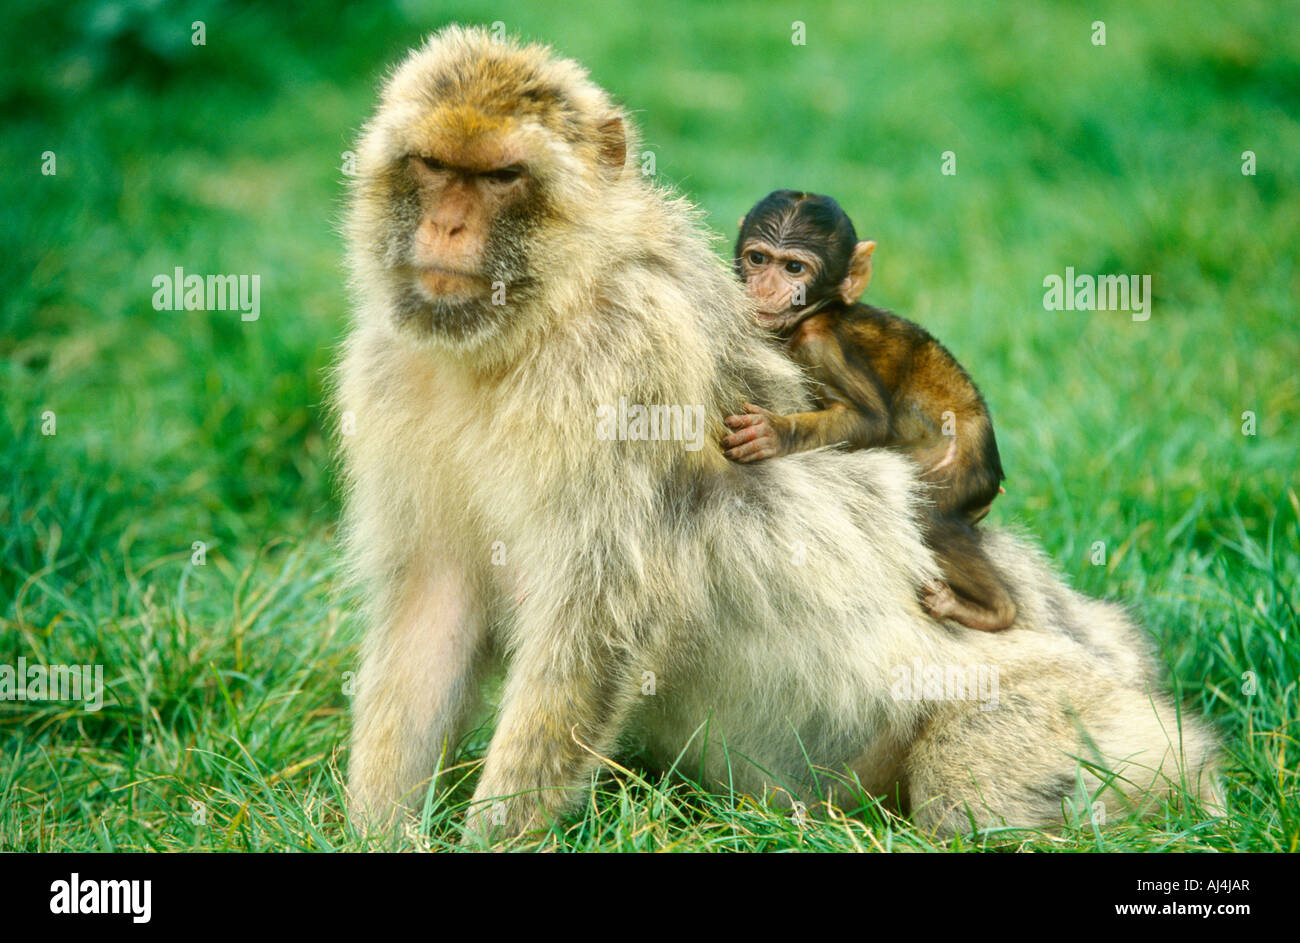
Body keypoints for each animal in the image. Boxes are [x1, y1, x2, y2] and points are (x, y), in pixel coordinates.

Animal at [721, 190, 1016, 632]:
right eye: (758, 259)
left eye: (794, 268)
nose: (765, 288)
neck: (815, 312)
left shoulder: (821, 344)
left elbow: (872, 421)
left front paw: (773, 433)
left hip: (960, 464)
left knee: (929, 515)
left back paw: (993, 610)